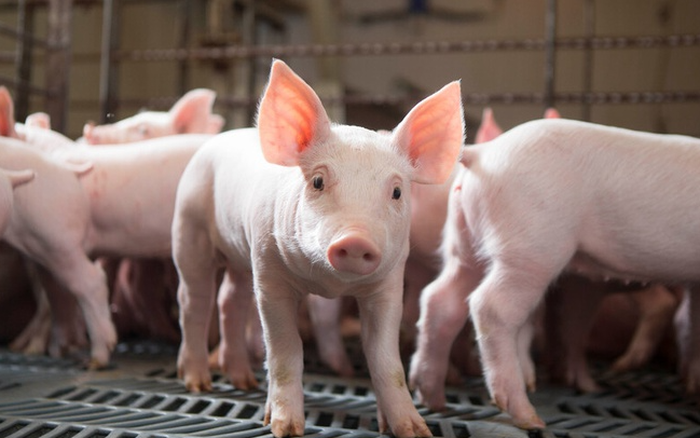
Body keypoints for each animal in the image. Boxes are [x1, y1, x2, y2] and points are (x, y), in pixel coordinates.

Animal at [173, 59, 463, 437]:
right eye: (318, 181)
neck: (329, 284)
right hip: (189, 226)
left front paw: (414, 430)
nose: (355, 239)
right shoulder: (270, 274)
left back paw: (244, 382)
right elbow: (286, 350)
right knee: (193, 301)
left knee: (229, 301)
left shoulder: (388, 285)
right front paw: (284, 428)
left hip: (240, 257)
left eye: (397, 191)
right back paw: (197, 383)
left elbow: (386, 360)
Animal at [410, 117, 700, 430]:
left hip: (465, 244)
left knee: (439, 299)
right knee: (489, 307)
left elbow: (692, 323)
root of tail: (484, 153)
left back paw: (433, 398)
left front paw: (691, 385)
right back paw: (529, 417)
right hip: (530, 247)